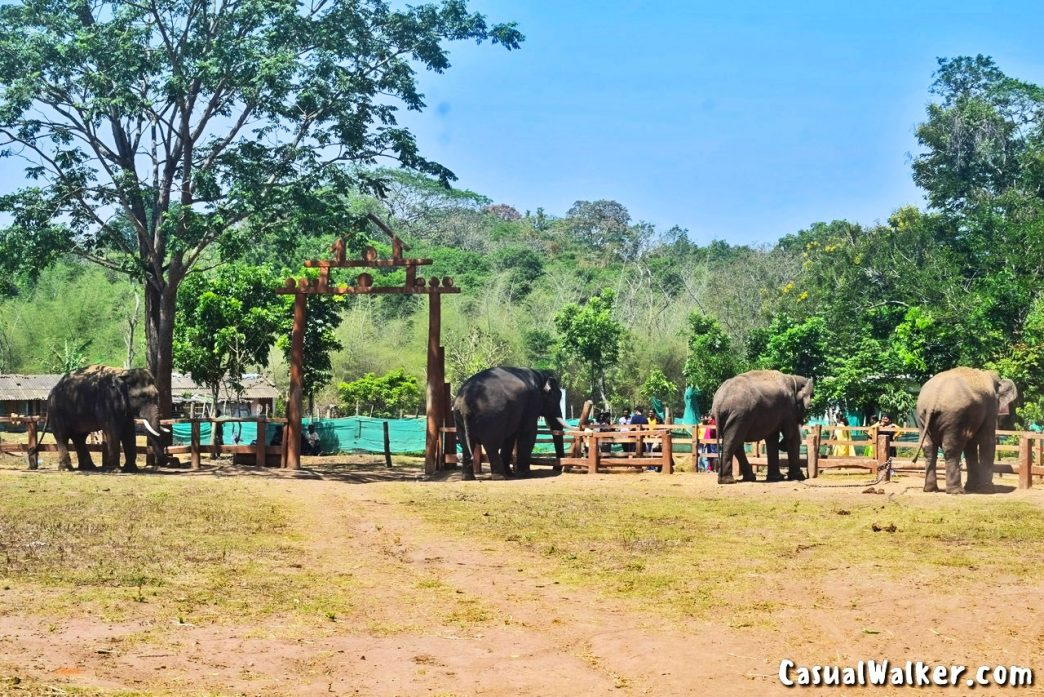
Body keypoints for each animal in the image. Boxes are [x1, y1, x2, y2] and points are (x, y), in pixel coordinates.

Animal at [36, 365, 167, 472]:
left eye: (156, 395)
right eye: (143, 396)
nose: (164, 462)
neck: (124, 373)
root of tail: (52, 391)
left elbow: (129, 432)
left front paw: (131, 469)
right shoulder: (107, 402)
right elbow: (113, 431)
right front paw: (115, 470)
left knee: (79, 437)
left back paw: (89, 467)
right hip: (56, 411)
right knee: (62, 436)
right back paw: (66, 469)